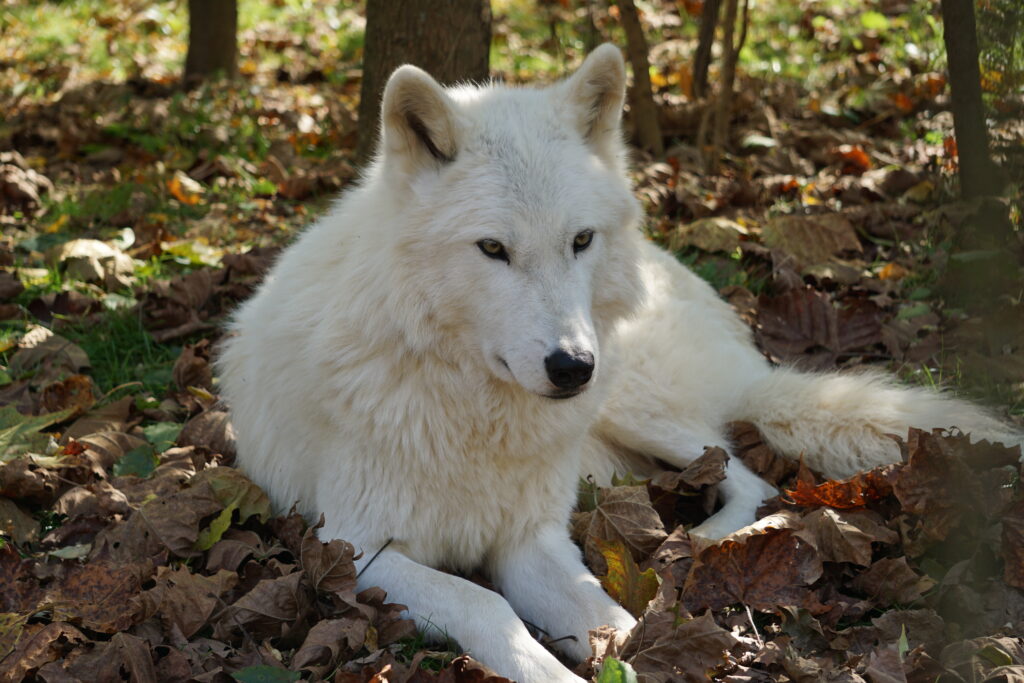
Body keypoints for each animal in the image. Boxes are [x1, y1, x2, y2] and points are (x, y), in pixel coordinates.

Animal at [219, 45, 1023, 683]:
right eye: (493, 249)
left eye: (580, 240)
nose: (572, 366)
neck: (471, 408)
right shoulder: (356, 545)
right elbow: (487, 604)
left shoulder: (529, 538)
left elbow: (605, 617)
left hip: (630, 399)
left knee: (753, 477)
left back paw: (696, 545)